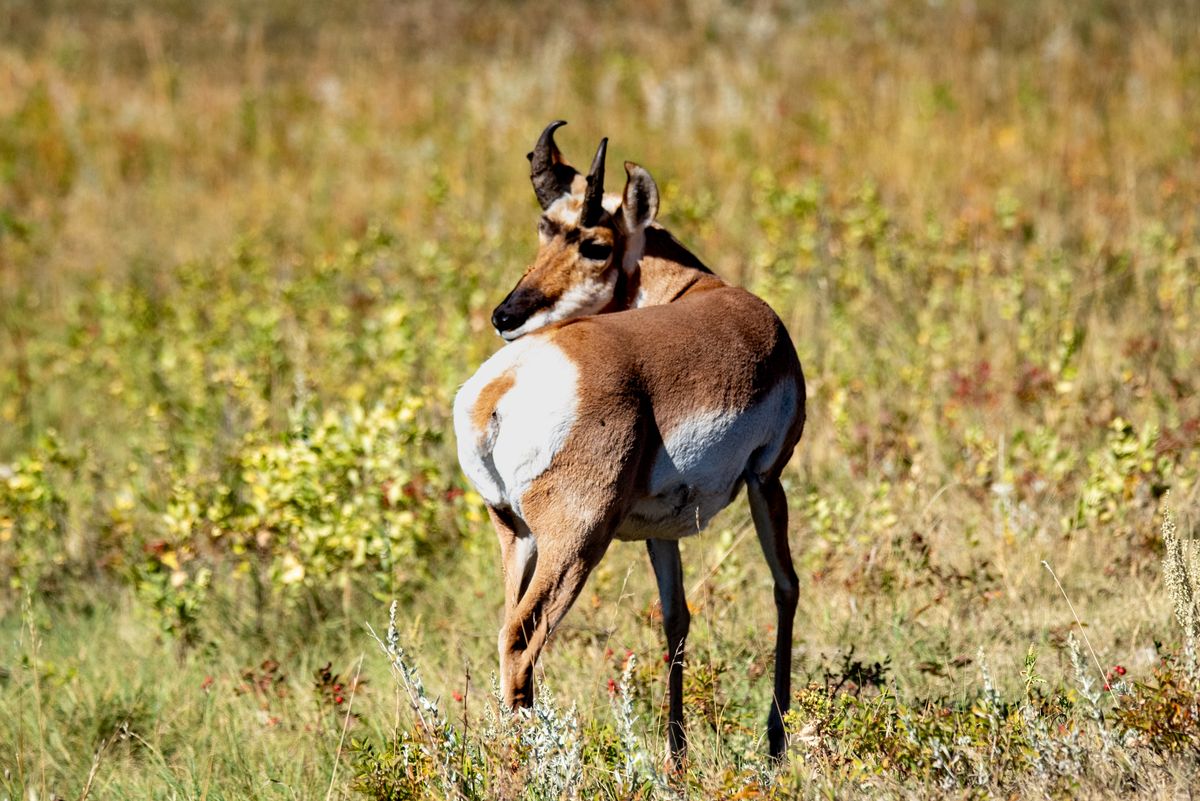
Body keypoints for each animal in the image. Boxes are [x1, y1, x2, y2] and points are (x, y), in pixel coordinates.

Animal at [452, 121, 806, 760]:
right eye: (545, 232)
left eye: (593, 244)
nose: (506, 314)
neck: (699, 290)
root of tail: (504, 381)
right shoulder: (768, 478)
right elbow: (785, 587)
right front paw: (775, 743)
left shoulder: (661, 528)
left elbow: (676, 619)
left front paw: (677, 757)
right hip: (576, 543)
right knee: (521, 640)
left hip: (517, 538)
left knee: (508, 635)